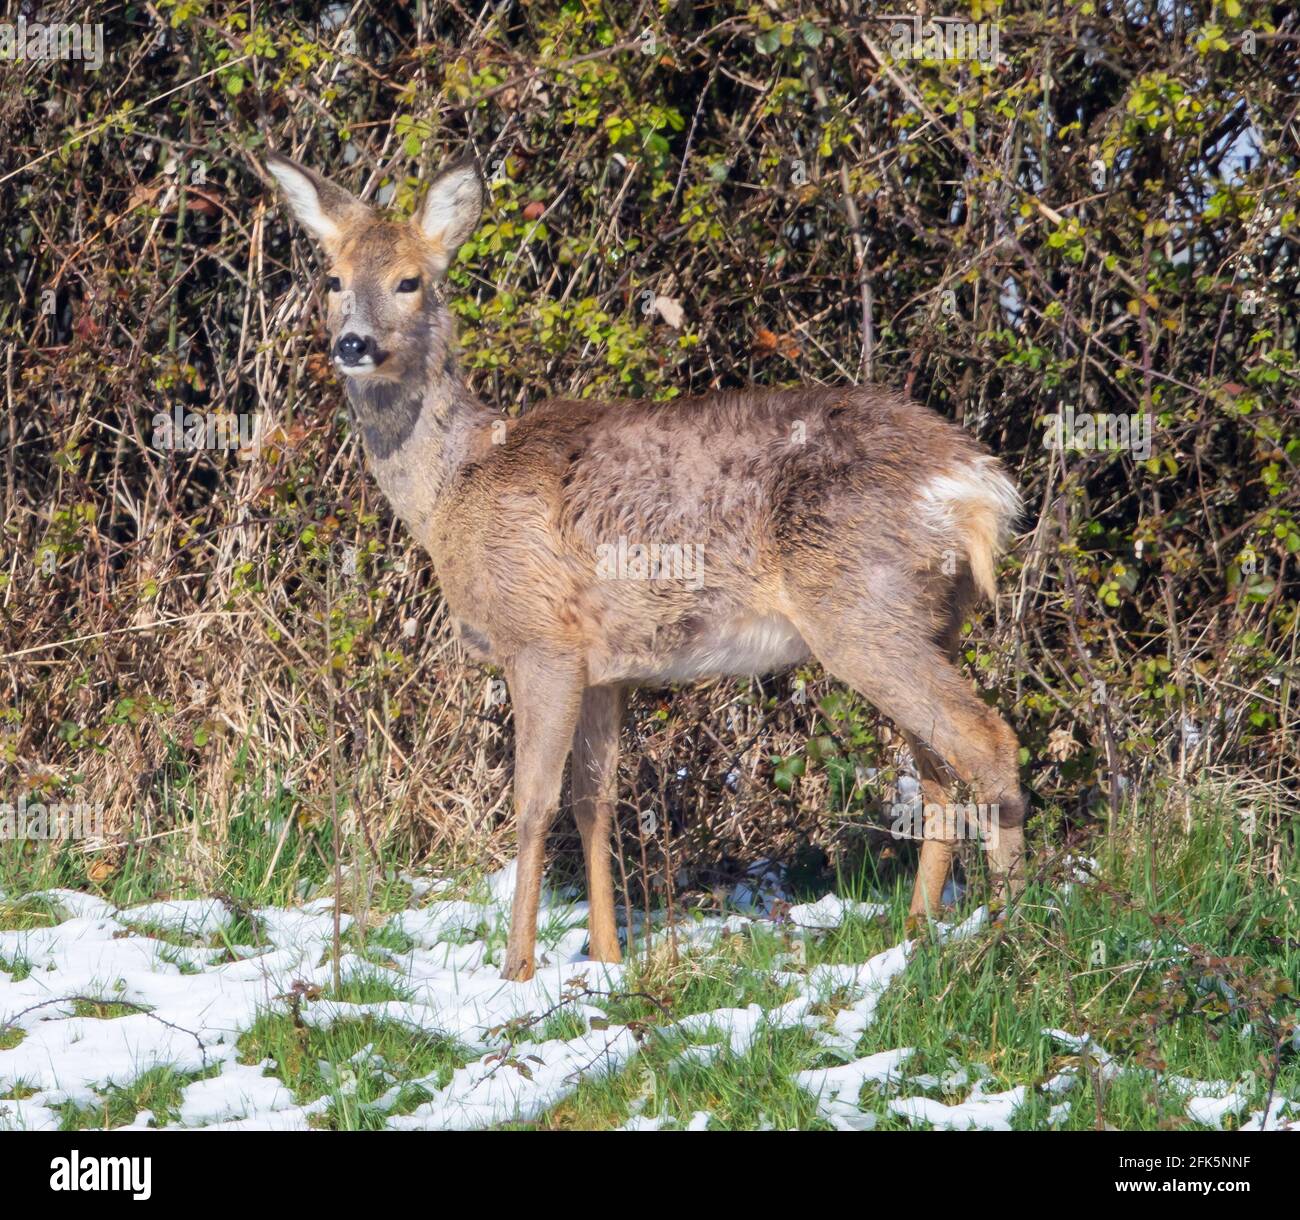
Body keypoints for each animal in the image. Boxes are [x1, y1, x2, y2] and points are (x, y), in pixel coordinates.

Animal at [266, 149, 1027, 982]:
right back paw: (918, 934)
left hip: (865, 610)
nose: (353, 344)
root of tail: (976, 485)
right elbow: (593, 802)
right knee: (937, 771)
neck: (456, 489)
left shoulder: (539, 639)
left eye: (409, 280)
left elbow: (533, 803)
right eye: (332, 278)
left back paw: (1011, 936)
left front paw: (517, 969)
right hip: (920, 620)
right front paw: (603, 955)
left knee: (988, 742)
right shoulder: (606, 666)